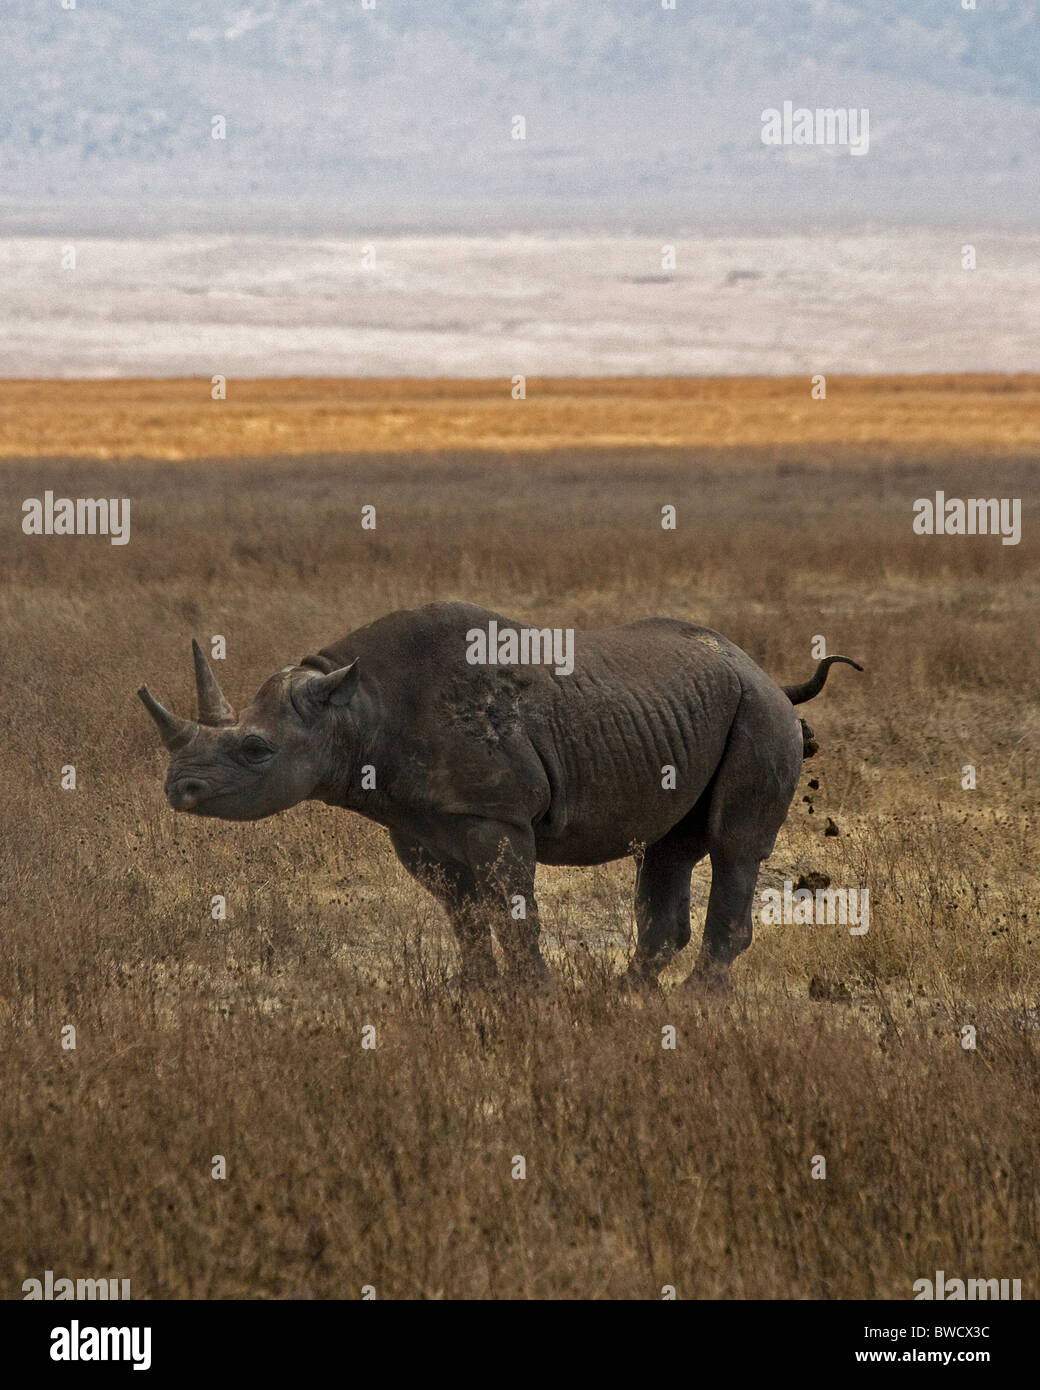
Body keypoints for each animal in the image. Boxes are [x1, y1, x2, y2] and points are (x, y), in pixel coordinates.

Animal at [138, 601, 861, 992]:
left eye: (255, 750)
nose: (180, 789)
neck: (353, 709)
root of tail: (766, 673)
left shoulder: (497, 815)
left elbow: (514, 908)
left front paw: (536, 994)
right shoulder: (417, 821)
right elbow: (461, 910)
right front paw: (472, 988)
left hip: (757, 713)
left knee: (735, 847)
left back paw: (695, 999)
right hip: (698, 710)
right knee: (669, 847)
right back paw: (629, 991)